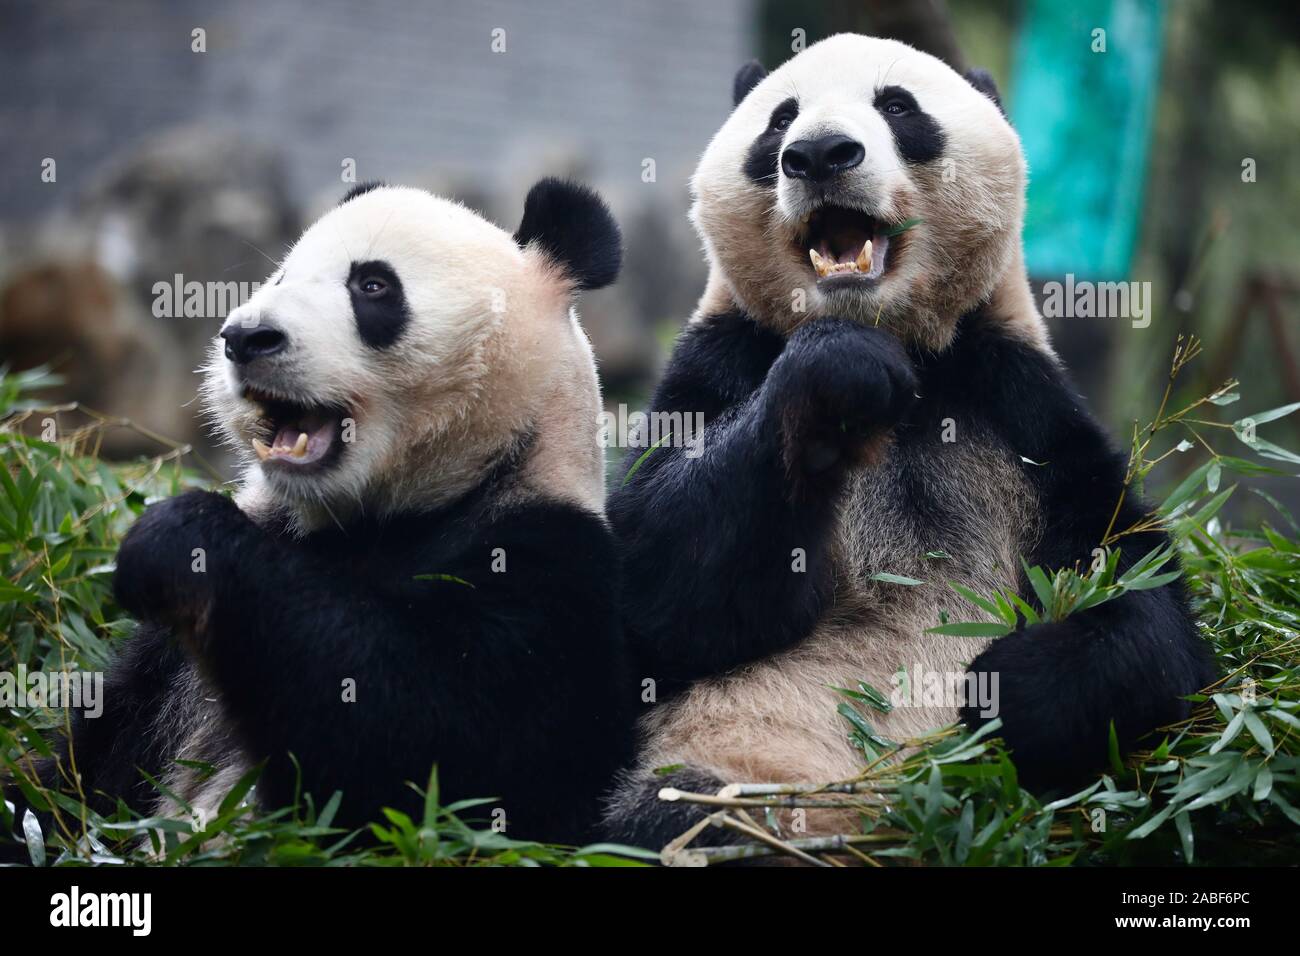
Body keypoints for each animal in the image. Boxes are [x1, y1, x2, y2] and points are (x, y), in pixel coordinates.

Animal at [5, 178, 633, 850]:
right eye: (281, 276)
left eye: (373, 286)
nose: (246, 338)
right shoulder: (177, 651)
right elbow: (92, 761)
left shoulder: (540, 557)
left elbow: (448, 750)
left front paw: (176, 539)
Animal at [602, 34, 1215, 848]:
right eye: (780, 120)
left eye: (897, 106)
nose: (820, 153)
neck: (901, 348)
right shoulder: (722, 362)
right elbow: (661, 576)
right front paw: (839, 370)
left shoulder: (1019, 406)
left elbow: (1137, 594)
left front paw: (1005, 689)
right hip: (726, 766)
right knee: (673, 818)